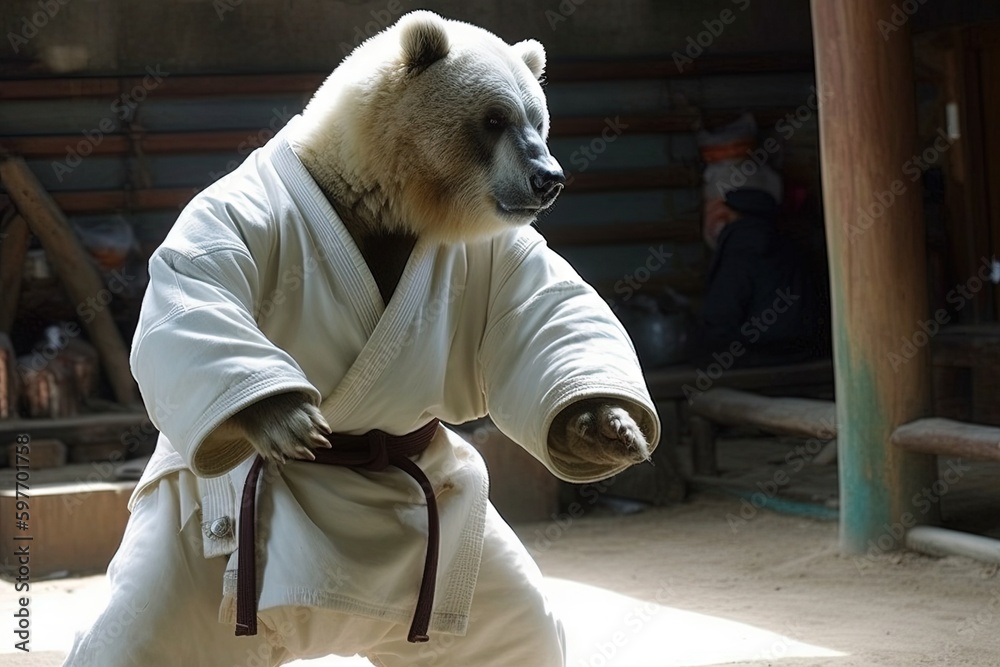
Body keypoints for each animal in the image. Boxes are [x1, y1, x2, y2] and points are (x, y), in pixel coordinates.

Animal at [64, 10, 660, 667]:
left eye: (538, 119)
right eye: (495, 119)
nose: (546, 178)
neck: (379, 196)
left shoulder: (489, 254)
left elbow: (544, 310)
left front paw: (607, 427)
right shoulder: (247, 217)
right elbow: (202, 287)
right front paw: (289, 420)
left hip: (457, 569)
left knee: (509, 635)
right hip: (199, 544)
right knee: (139, 632)